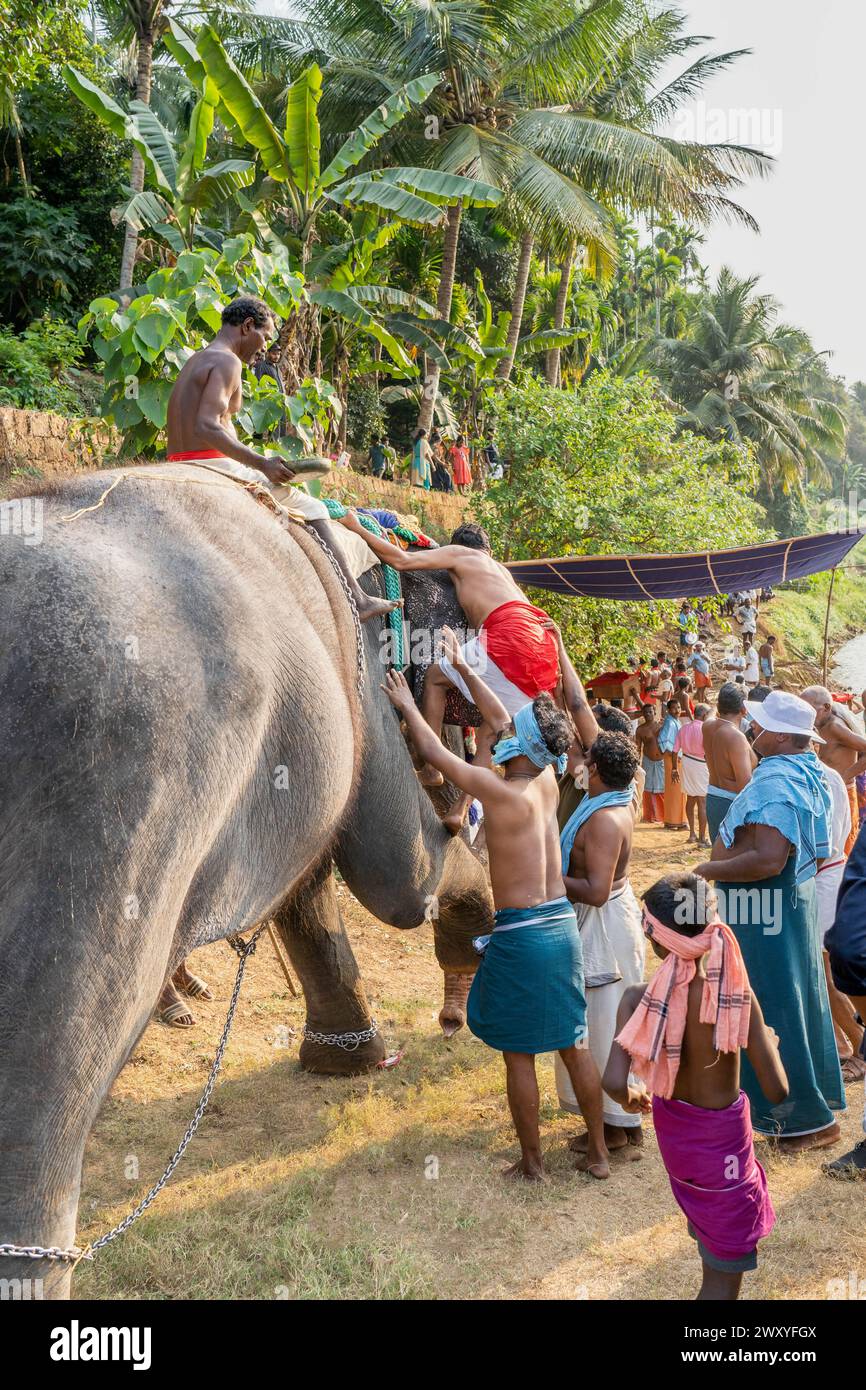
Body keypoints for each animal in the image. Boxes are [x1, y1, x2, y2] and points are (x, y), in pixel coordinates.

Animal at [0, 463, 493, 1297]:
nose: (468, 778)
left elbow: (308, 880)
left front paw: (343, 1059)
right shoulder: (361, 672)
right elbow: (395, 877)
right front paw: (465, 957)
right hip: (103, 796)